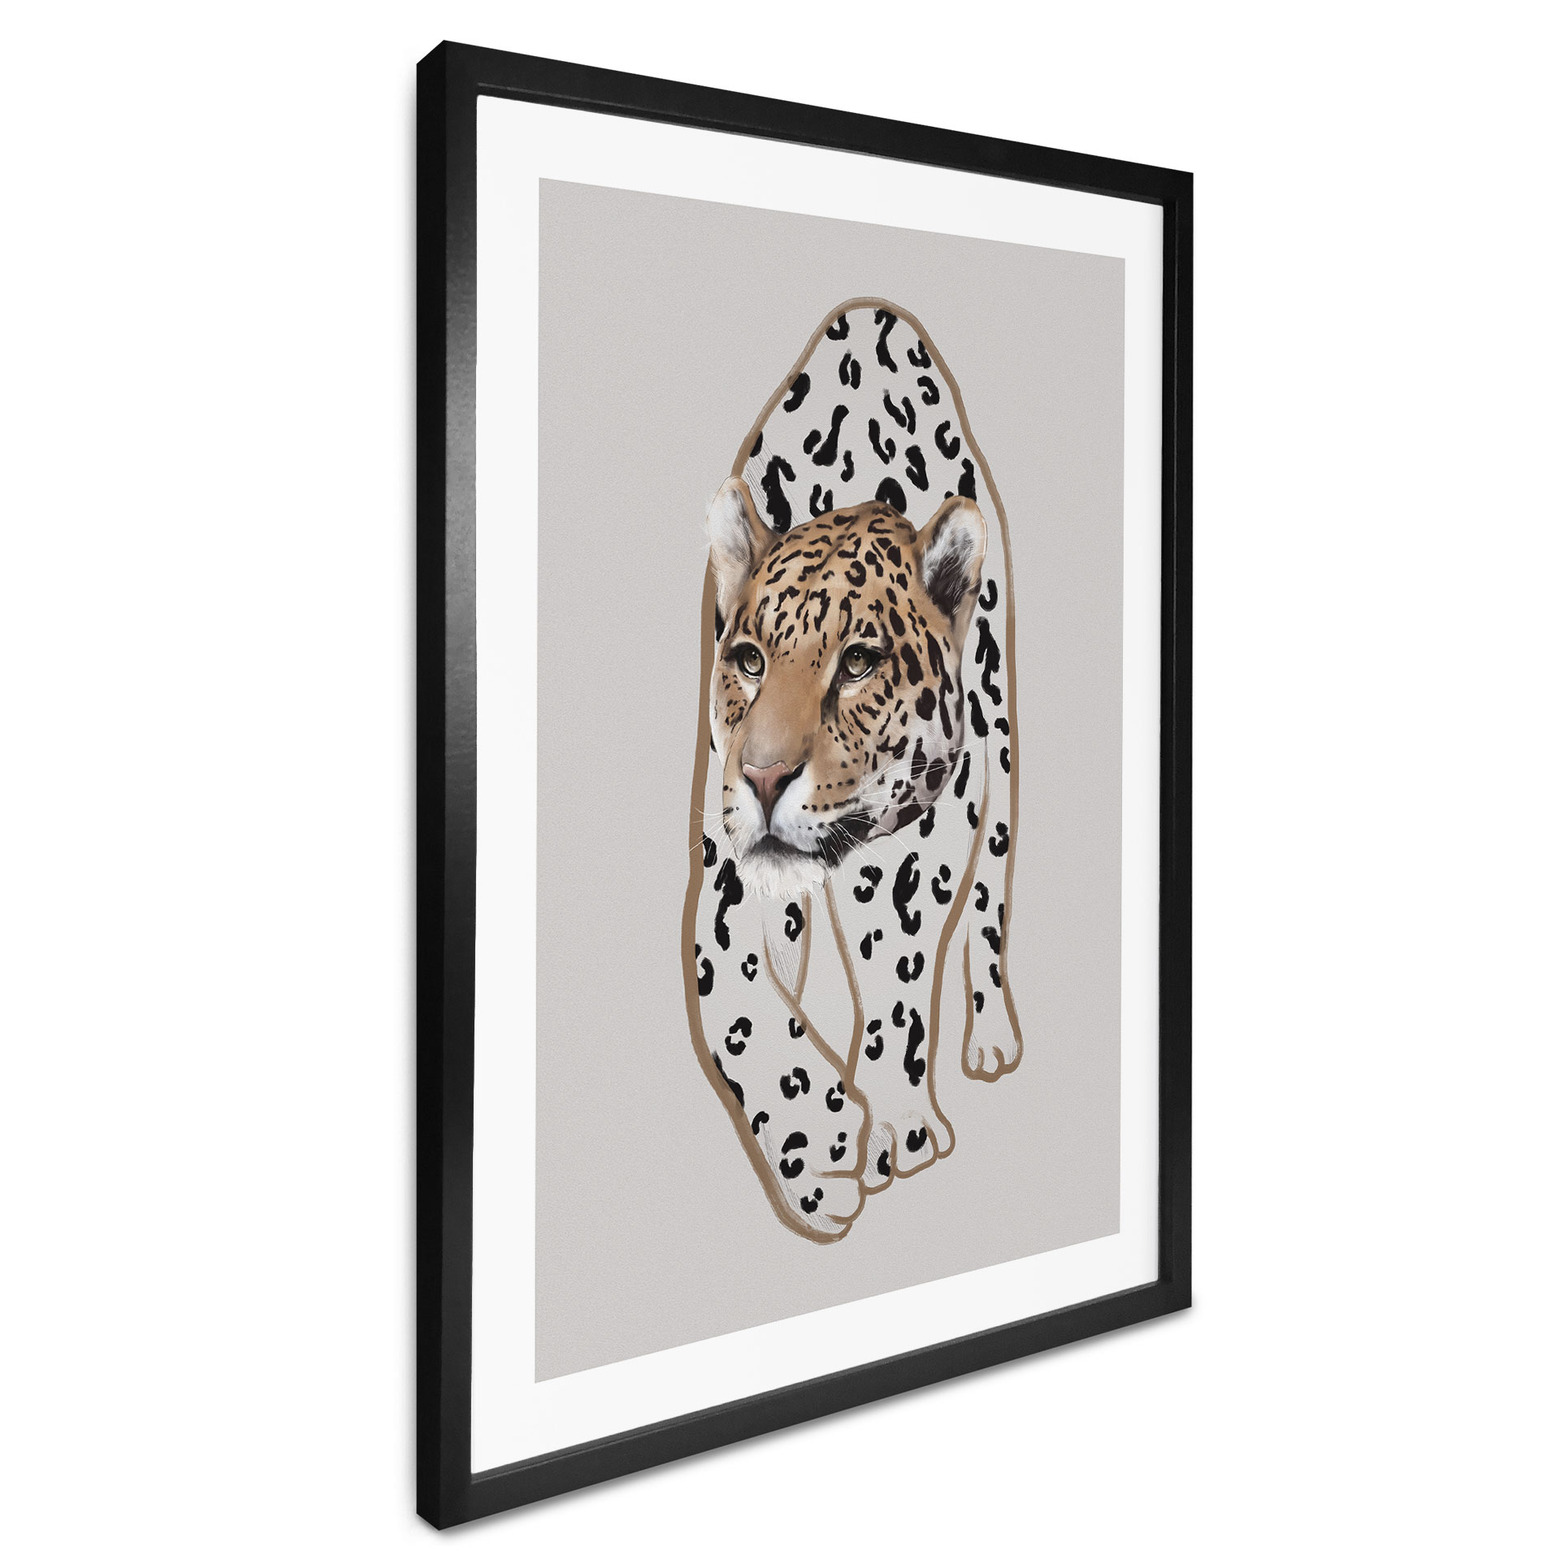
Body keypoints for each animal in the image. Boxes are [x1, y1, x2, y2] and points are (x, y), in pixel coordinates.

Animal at [681, 299, 1023, 1242]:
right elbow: (740, 1007)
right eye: (750, 660)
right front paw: (815, 1140)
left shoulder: (921, 847)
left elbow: (901, 985)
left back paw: (990, 1036)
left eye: (860, 663)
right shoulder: (726, 870)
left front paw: (896, 1125)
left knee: (988, 907)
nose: (764, 778)